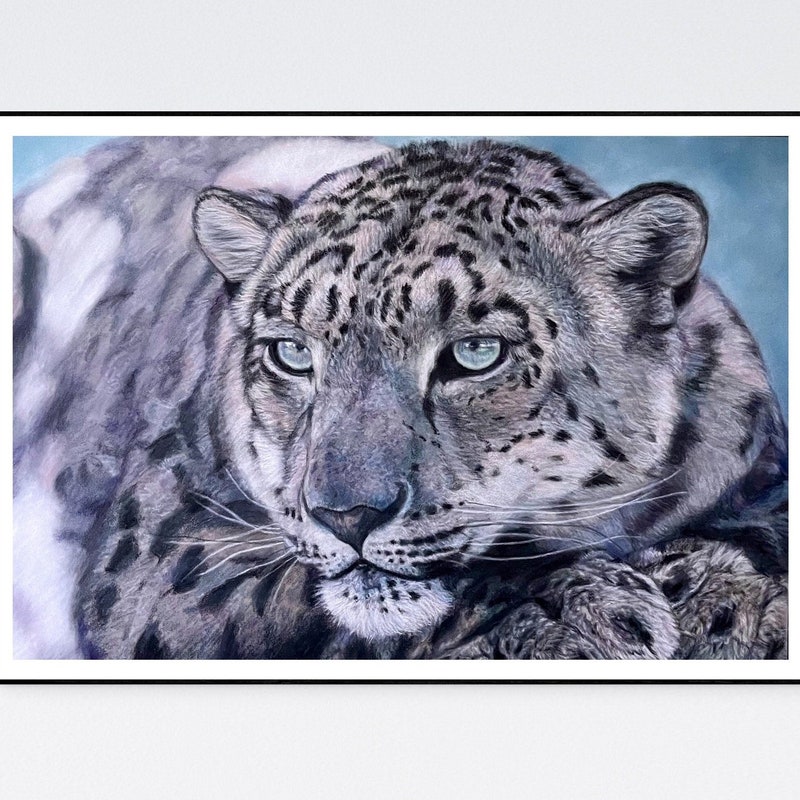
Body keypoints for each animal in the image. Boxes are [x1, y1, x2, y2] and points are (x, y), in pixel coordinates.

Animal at [13, 136, 787, 659]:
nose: (346, 516)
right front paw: (581, 610)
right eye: (292, 353)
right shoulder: (161, 550)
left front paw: (718, 592)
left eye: (476, 354)